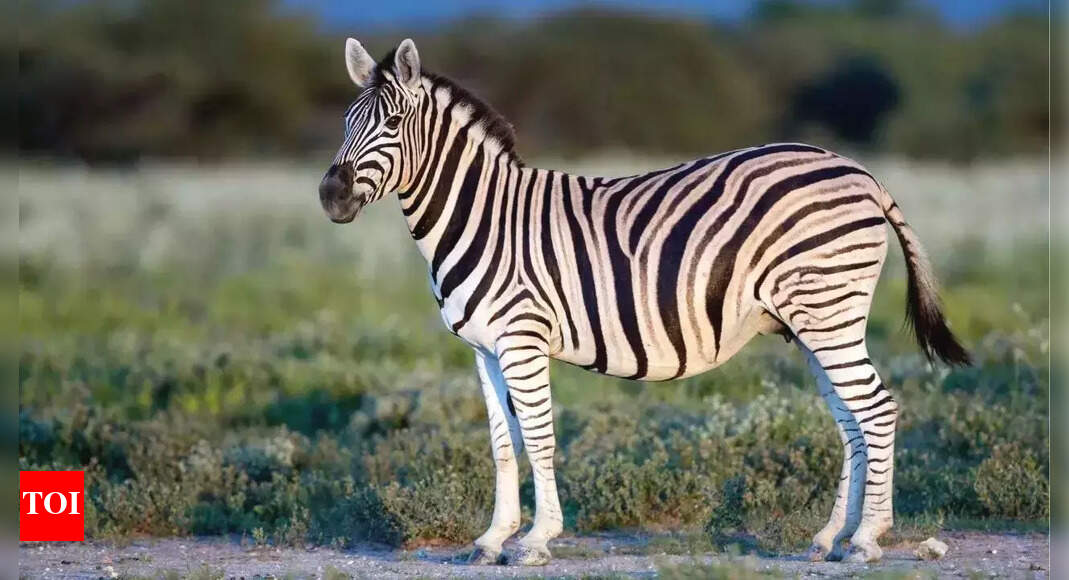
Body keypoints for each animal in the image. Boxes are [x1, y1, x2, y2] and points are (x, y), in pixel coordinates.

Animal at [318, 38, 971, 566]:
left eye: (392, 122)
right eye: (346, 121)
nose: (330, 195)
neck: (482, 216)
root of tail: (861, 172)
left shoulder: (522, 338)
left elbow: (539, 437)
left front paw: (535, 540)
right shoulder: (483, 348)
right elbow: (503, 445)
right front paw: (492, 539)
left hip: (828, 311)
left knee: (877, 409)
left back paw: (866, 541)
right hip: (815, 321)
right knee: (852, 422)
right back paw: (831, 537)